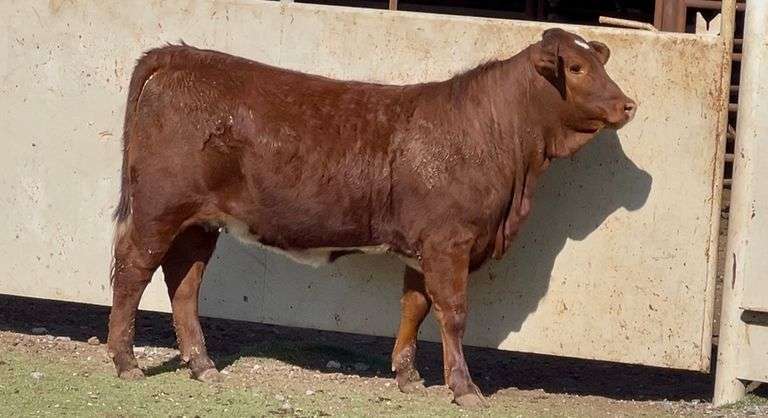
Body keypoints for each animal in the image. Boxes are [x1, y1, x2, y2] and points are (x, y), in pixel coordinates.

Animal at [107, 28, 636, 407]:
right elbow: (454, 313)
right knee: (133, 271)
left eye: (598, 62)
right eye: (576, 67)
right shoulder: (450, 242)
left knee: (184, 282)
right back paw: (126, 360)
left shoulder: (425, 248)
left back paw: (201, 364)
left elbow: (415, 307)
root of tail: (183, 55)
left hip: (199, 223)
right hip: (159, 209)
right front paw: (464, 388)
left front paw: (408, 376)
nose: (627, 105)